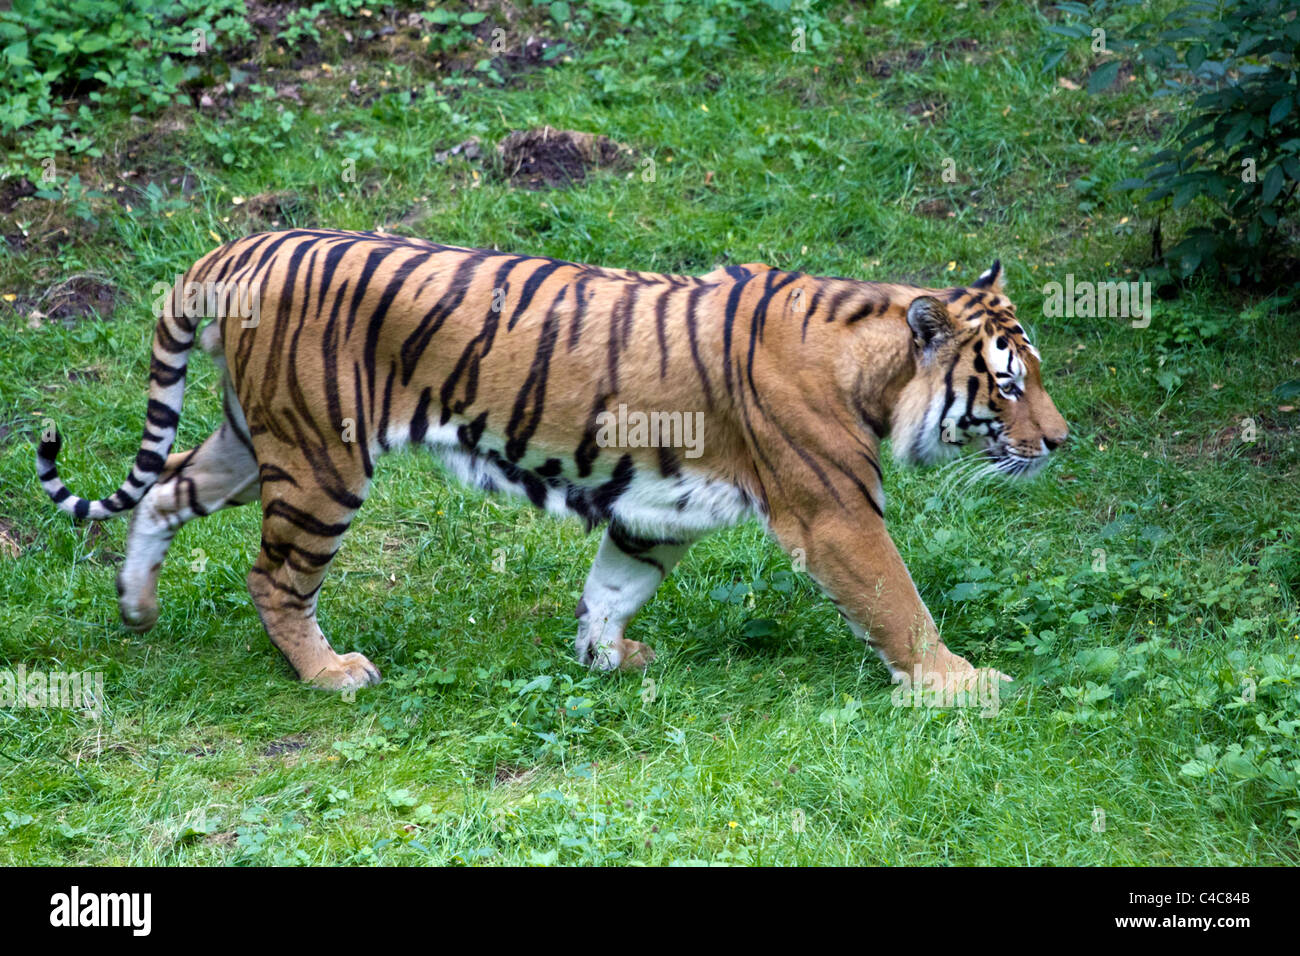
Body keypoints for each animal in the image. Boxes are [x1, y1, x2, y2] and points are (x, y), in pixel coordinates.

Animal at [36, 229, 1067, 693]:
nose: (1060, 442)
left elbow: (612, 585)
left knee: (163, 492)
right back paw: (330, 673)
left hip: (256, 438)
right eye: (1008, 385)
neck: (878, 369)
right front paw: (961, 686)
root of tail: (246, 243)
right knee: (272, 576)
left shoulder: (653, 511)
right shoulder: (838, 515)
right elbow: (899, 603)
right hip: (321, 461)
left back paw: (136, 610)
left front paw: (606, 657)